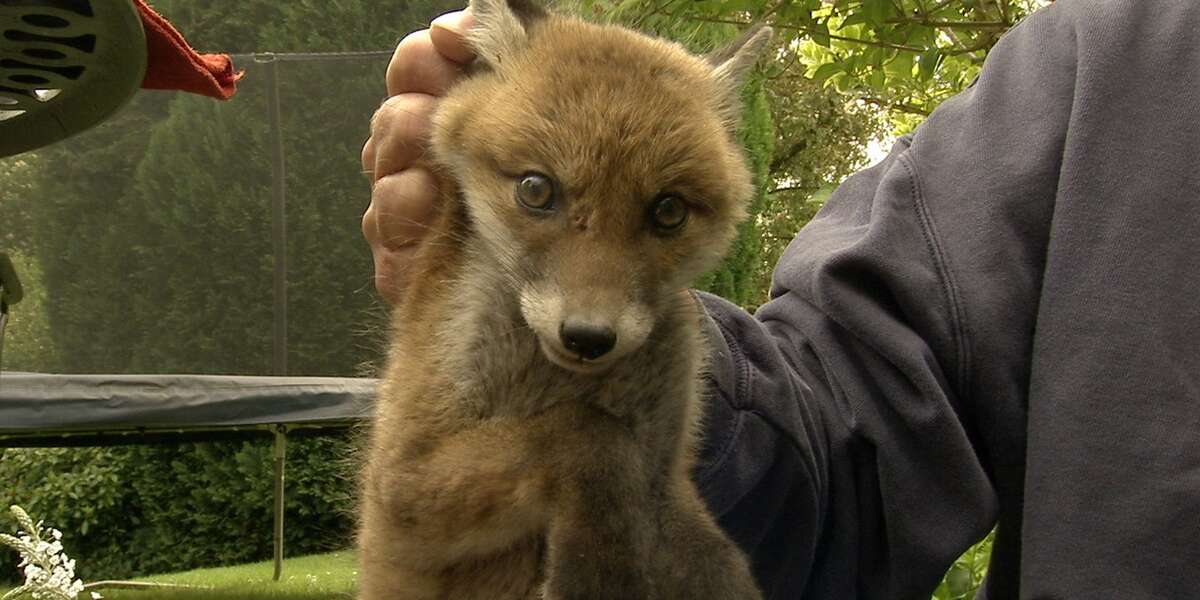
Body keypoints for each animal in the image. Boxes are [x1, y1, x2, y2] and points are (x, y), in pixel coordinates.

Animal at [357, 0, 771, 598]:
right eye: (536, 189)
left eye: (668, 210)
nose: (588, 338)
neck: (563, 379)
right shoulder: (399, 484)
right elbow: (589, 437)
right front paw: (597, 571)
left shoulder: (663, 471)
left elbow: (719, 563)